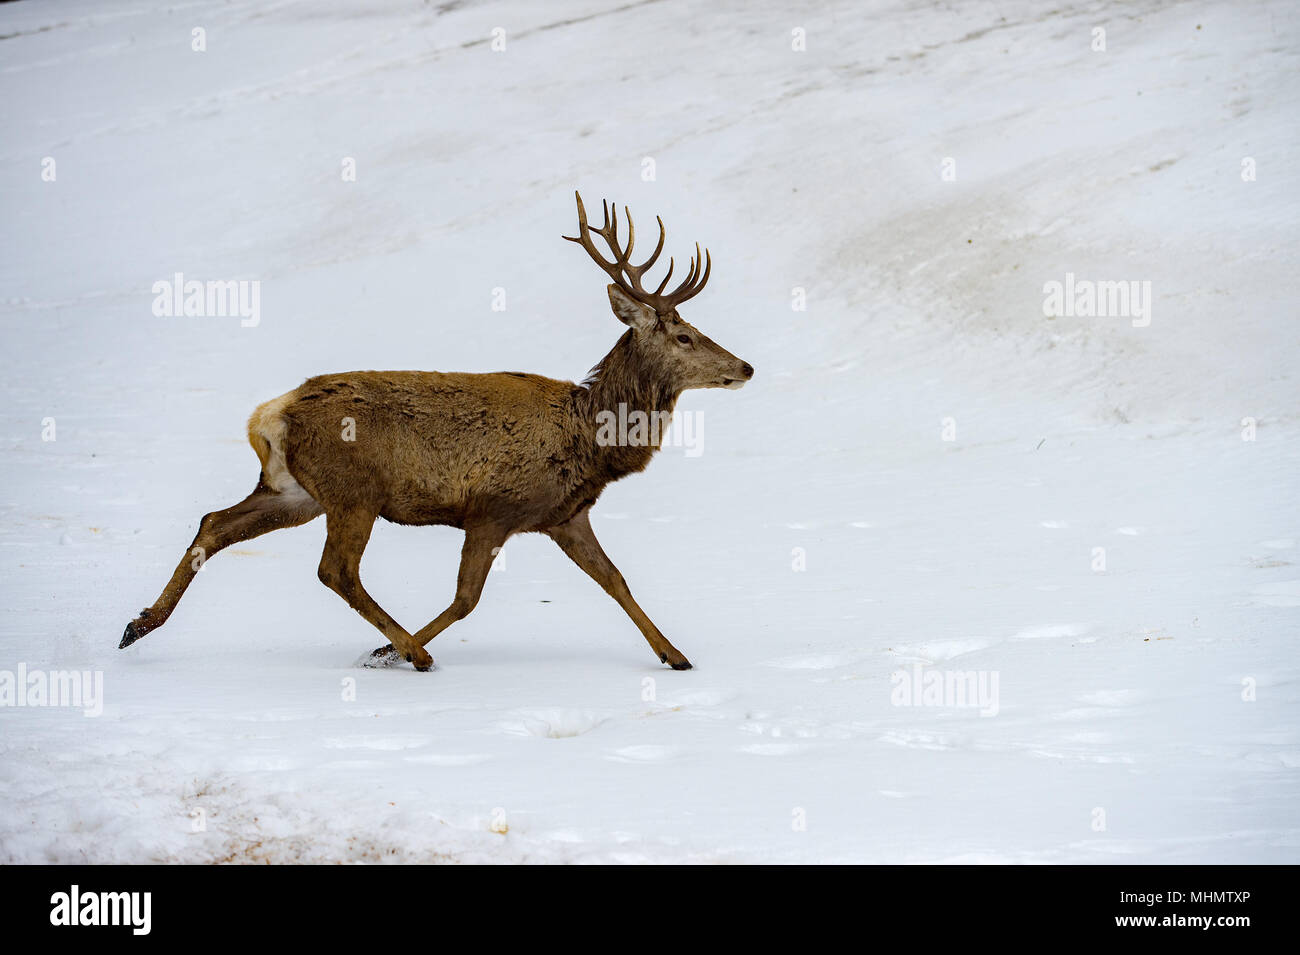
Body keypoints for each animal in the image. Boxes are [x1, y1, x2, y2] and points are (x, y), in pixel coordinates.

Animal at [119, 192, 754, 672]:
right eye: (685, 337)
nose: (745, 367)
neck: (590, 442)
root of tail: (270, 413)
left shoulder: (565, 515)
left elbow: (617, 580)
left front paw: (675, 655)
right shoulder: (493, 508)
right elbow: (467, 599)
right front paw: (386, 653)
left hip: (295, 491)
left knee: (214, 523)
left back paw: (138, 624)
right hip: (355, 491)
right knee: (335, 570)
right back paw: (411, 652)